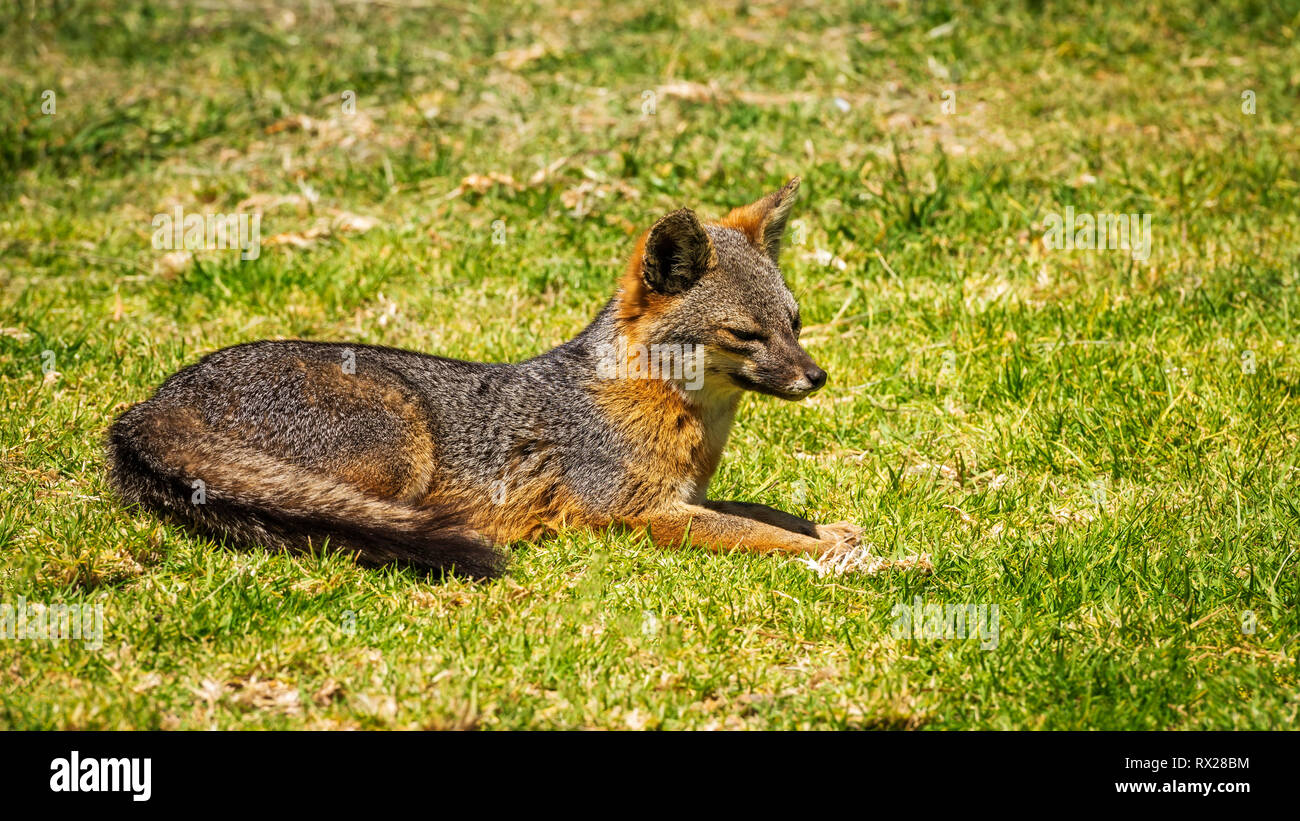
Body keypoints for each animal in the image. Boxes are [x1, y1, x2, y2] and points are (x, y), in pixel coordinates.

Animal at [106, 177, 863, 580]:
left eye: (796, 323)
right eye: (746, 335)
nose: (817, 376)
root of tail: (155, 400)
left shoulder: (681, 498)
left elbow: (763, 513)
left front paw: (831, 531)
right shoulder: (633, 513)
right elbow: (756, 534)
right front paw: (837, 558)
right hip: (400, 446)